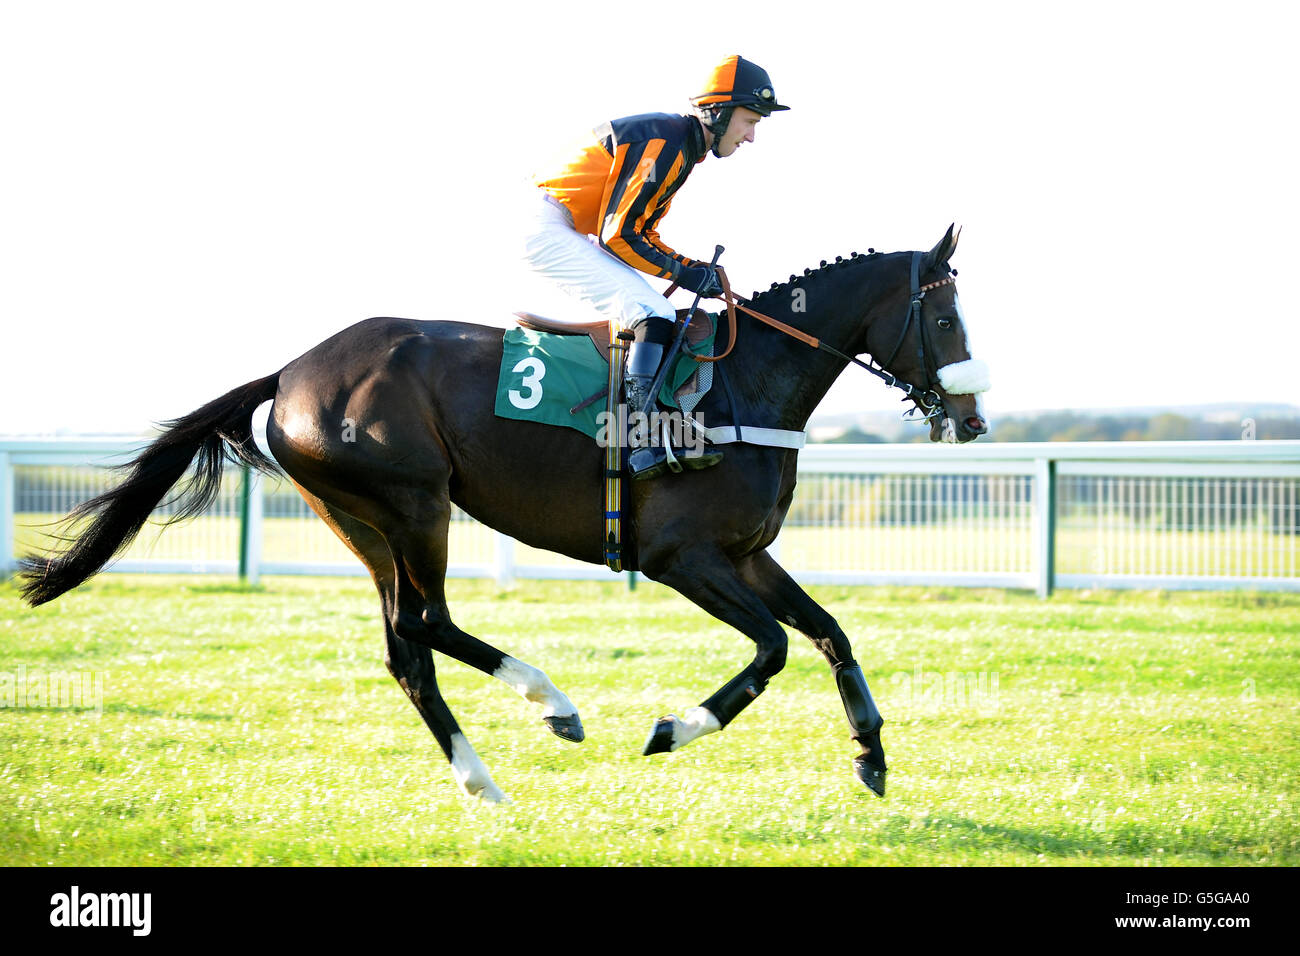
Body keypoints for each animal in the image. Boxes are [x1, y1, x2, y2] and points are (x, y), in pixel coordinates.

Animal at [19, 224, 989, 803]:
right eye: (946, 318)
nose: (974, 418)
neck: (741, 385)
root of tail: (292, 370)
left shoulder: (747, 555)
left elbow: (829, 633)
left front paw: (871, 755)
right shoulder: (683, 559)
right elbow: (775, 648)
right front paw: (672, 728)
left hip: (364, 523)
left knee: (407, 648)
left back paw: (480, 778)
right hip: (416, 504)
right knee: (427, 621)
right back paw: (551, 703)